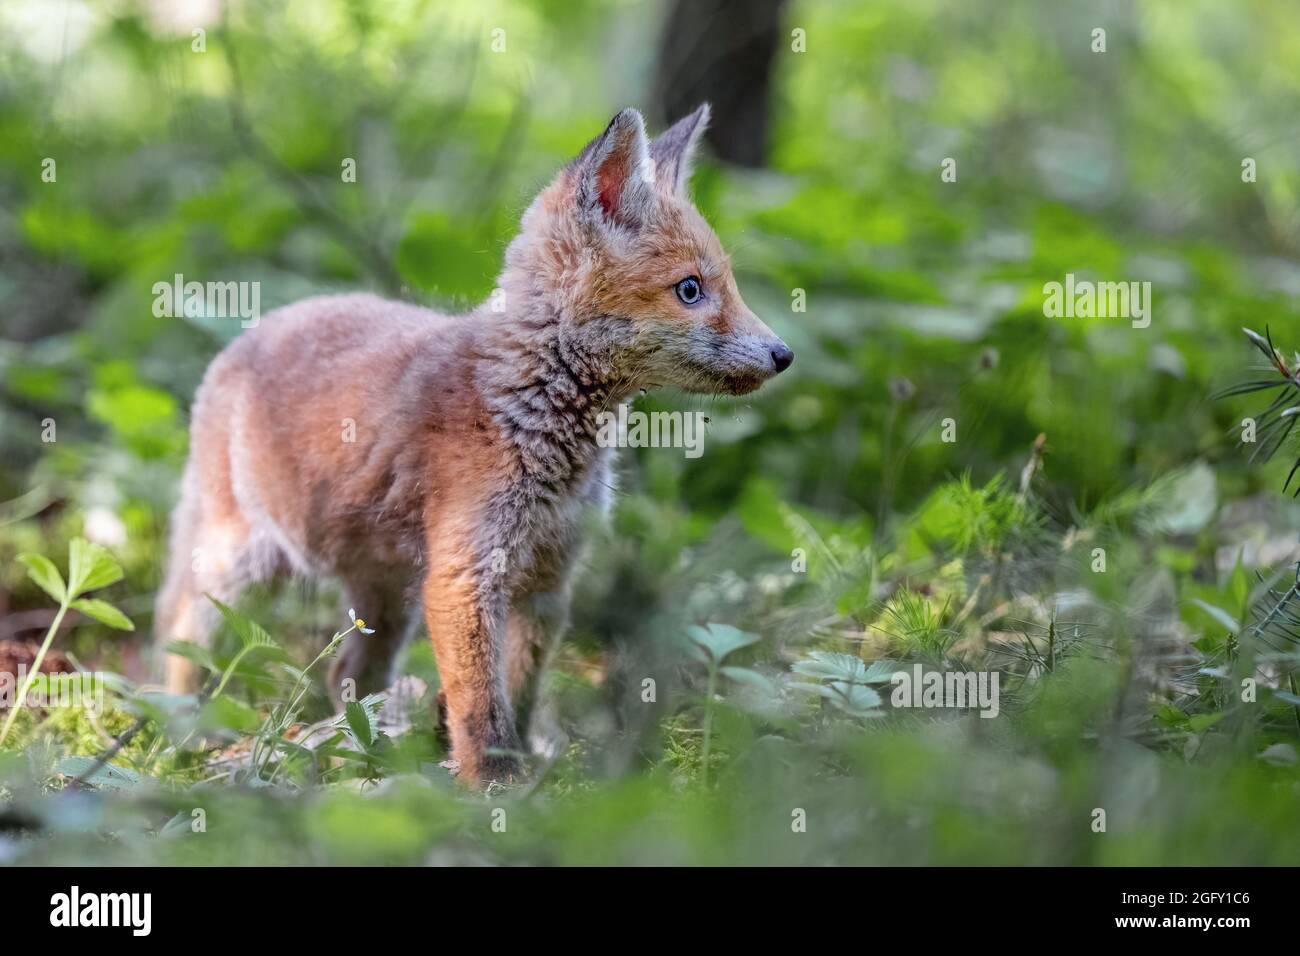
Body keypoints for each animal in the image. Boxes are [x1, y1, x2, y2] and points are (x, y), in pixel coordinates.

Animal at [154, 105, 794, 785]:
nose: (784, 355)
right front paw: (494, 781)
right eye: (691, 290)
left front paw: (521, 764)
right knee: (185, 635)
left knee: (347, 676)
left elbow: (521, 688)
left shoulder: (547, 580)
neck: (540, 421)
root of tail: (241, 340)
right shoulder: (466, 573)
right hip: (246, 564)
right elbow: (481, 702)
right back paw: (185, 735)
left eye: (728, 285)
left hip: (386, 597)